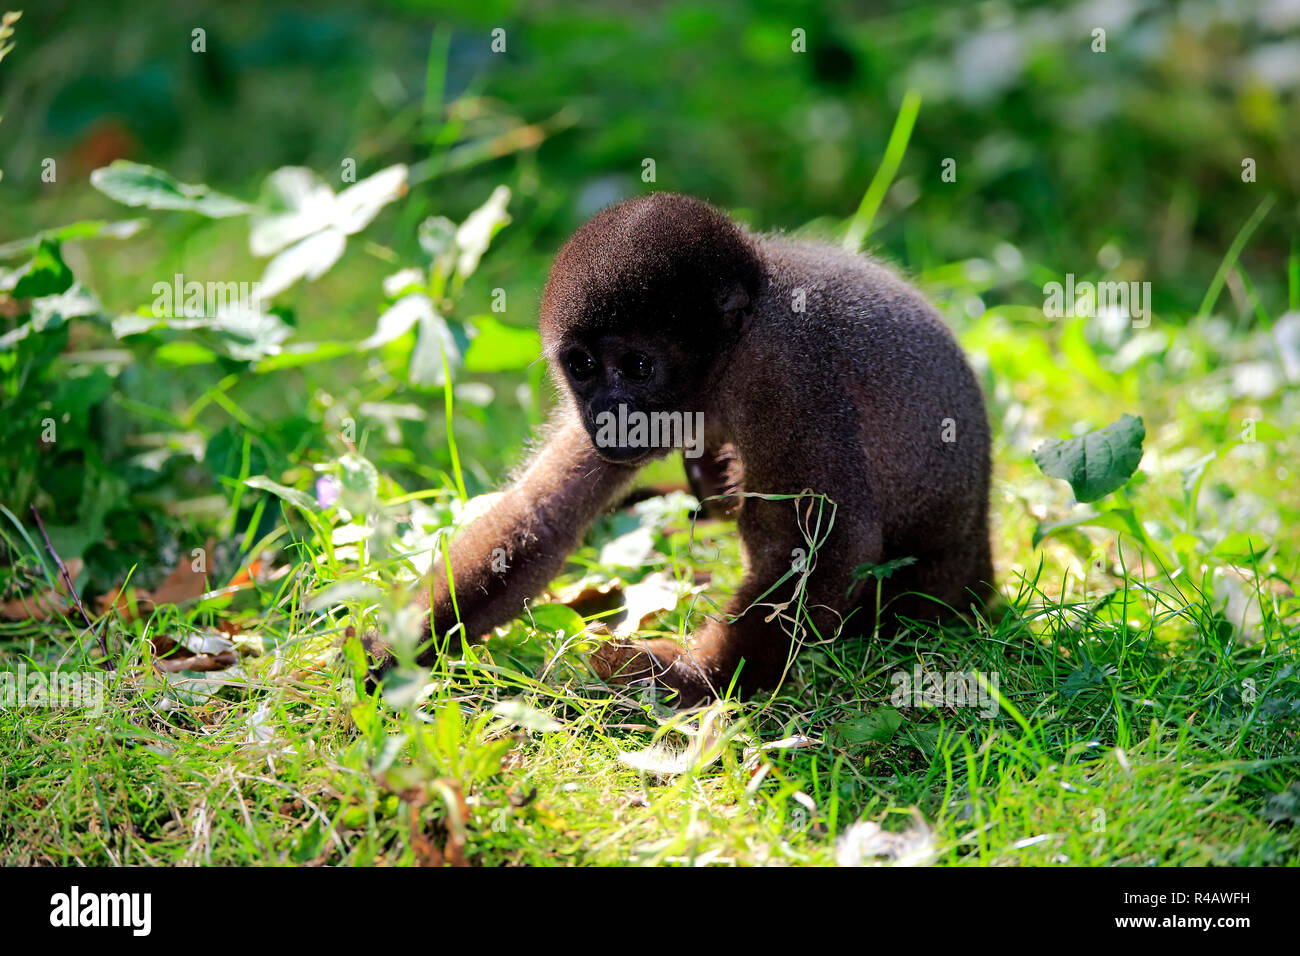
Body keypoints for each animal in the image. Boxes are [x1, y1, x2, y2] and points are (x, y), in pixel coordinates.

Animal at [370, 193, 994, 706]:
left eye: (638, 366)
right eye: (583, 366)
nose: (607, 412)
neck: (727, 354)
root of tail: (979, 569)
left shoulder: (786, 375)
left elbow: (828, 541)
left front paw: (694, 678)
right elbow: (540, 518)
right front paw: (387, 654)